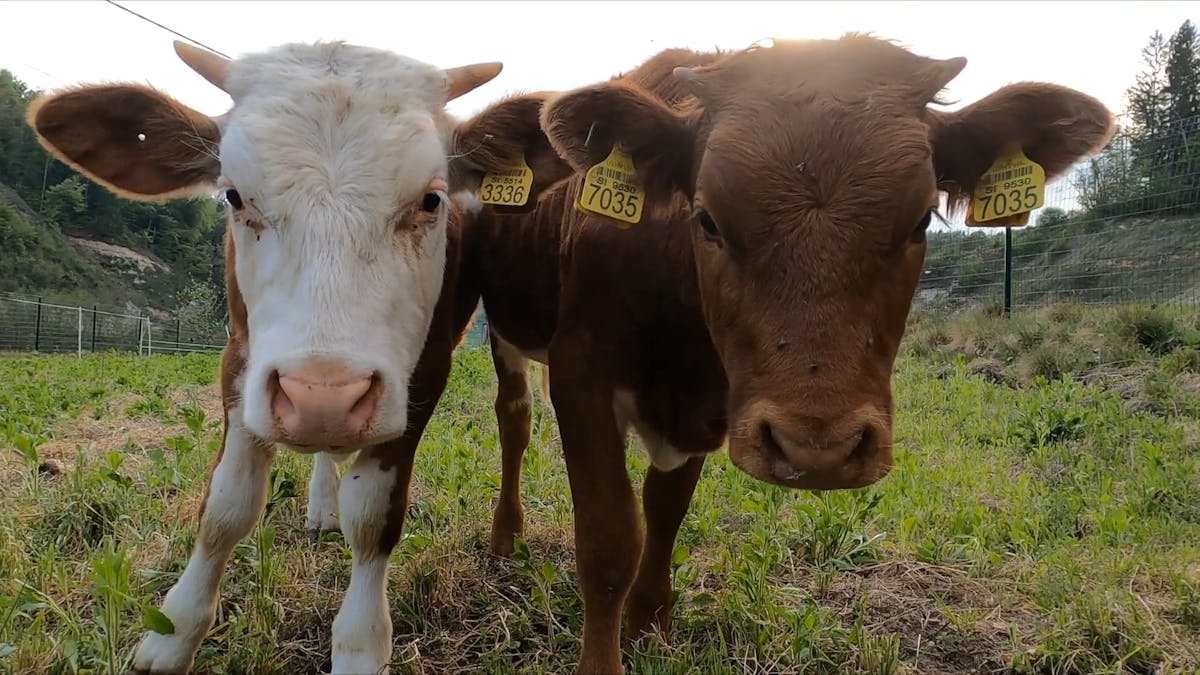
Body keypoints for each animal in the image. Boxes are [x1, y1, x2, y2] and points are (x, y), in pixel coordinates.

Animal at [23, 40, 530, 674]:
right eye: (234, 196)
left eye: (431, 199)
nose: (322, 398)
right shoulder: (240, 360)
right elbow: (227, 505)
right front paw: (173, 635)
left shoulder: (423, 374)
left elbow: (373, 515)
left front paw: (360, 646)